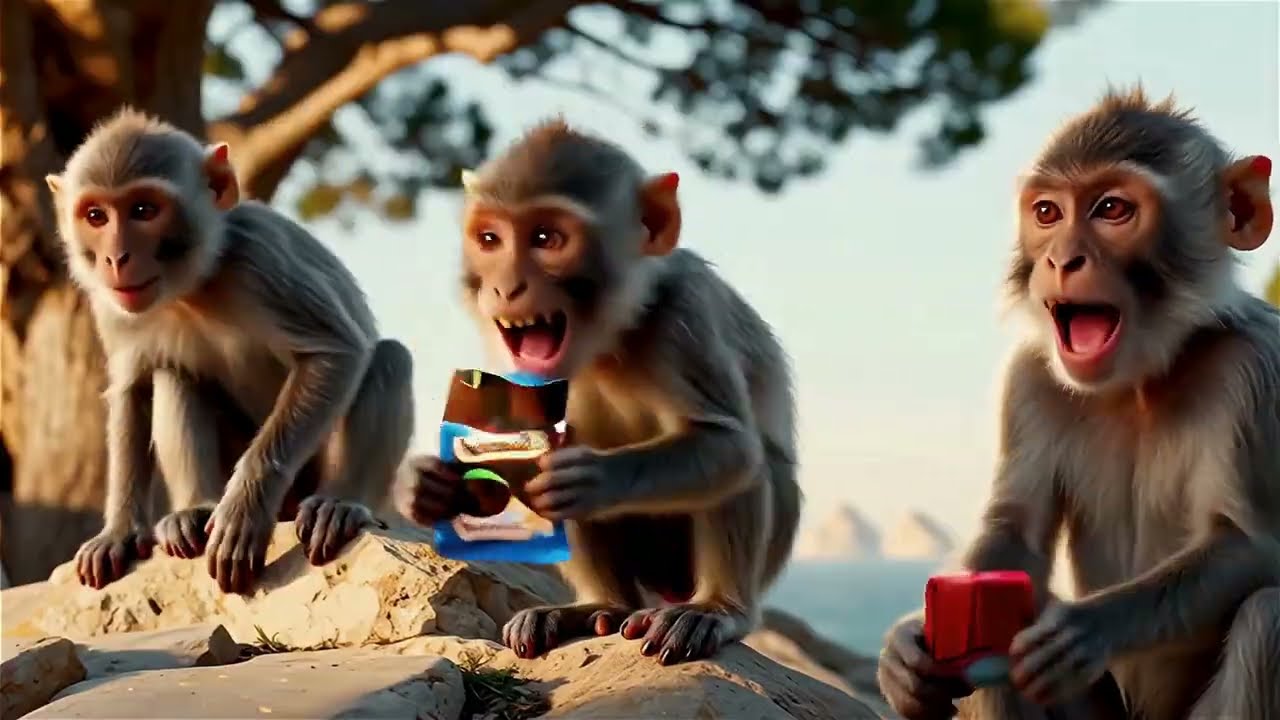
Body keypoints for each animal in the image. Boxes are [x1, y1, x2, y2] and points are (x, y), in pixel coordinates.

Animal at [46, 107, 415, 594]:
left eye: (143, 210)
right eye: (95, 215)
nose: (116, 258)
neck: (190, 290)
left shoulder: (260, 258)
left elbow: (335, 353)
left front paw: (245, 509)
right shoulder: (111, 305)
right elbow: (133, 388)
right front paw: (120, 531)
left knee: (388, 359)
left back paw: (340, 503)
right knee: (173, 373)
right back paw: (195, 510)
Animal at [394, 118, 802, 666]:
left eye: (545, 238)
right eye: (489, 239)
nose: (505, 287)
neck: (607, 344)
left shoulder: (685, 316)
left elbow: (728, 443)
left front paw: (593, 479)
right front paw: (424, 483)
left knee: (750, 466)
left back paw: (715, 608)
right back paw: (599, 605)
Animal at [877, 87, 1280, 720]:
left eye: (1112, 209)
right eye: (1048, 214)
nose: (1061, 260)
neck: (1141, 381)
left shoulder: (1255, 368)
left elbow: (1248, 541)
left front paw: (1088, 628)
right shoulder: (1030, 381)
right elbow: (1013, 534)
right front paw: (906, 646)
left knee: (1267, 621)